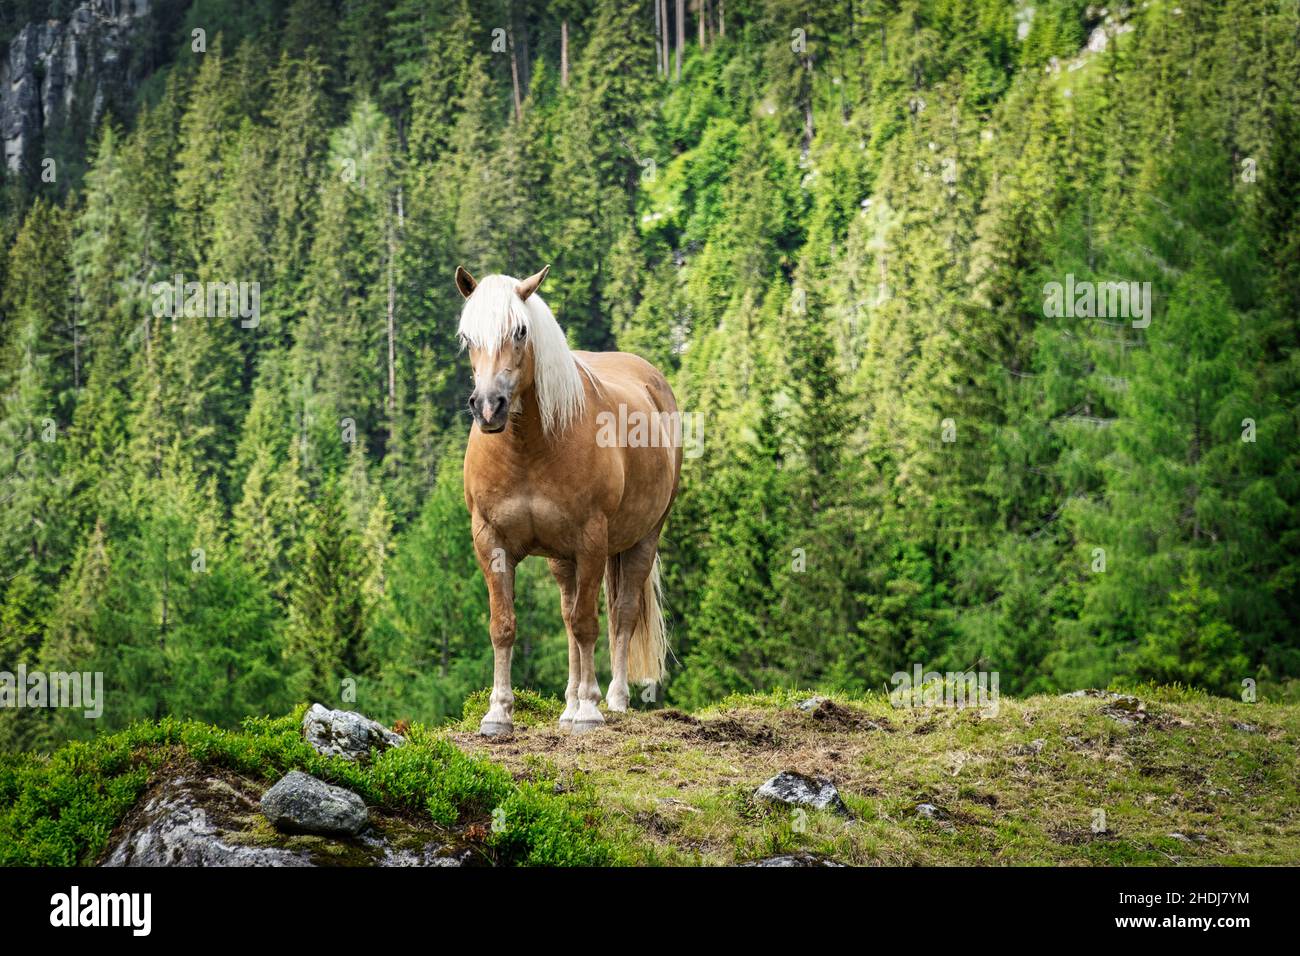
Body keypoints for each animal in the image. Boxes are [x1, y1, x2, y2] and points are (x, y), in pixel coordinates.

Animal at [456, 265, 683, 734]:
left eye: (520, 330)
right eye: (468, 336)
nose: (488, 407)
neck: (529, 449)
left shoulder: (591, 540)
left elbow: (587, 623)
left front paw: (591, 710)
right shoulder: (491, 541)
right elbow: (504, 625)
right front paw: (498, 713)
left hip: (642, 539)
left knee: (620, 615)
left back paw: (613, 699)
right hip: (563, 558)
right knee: (567, 614)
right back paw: (569, 703)